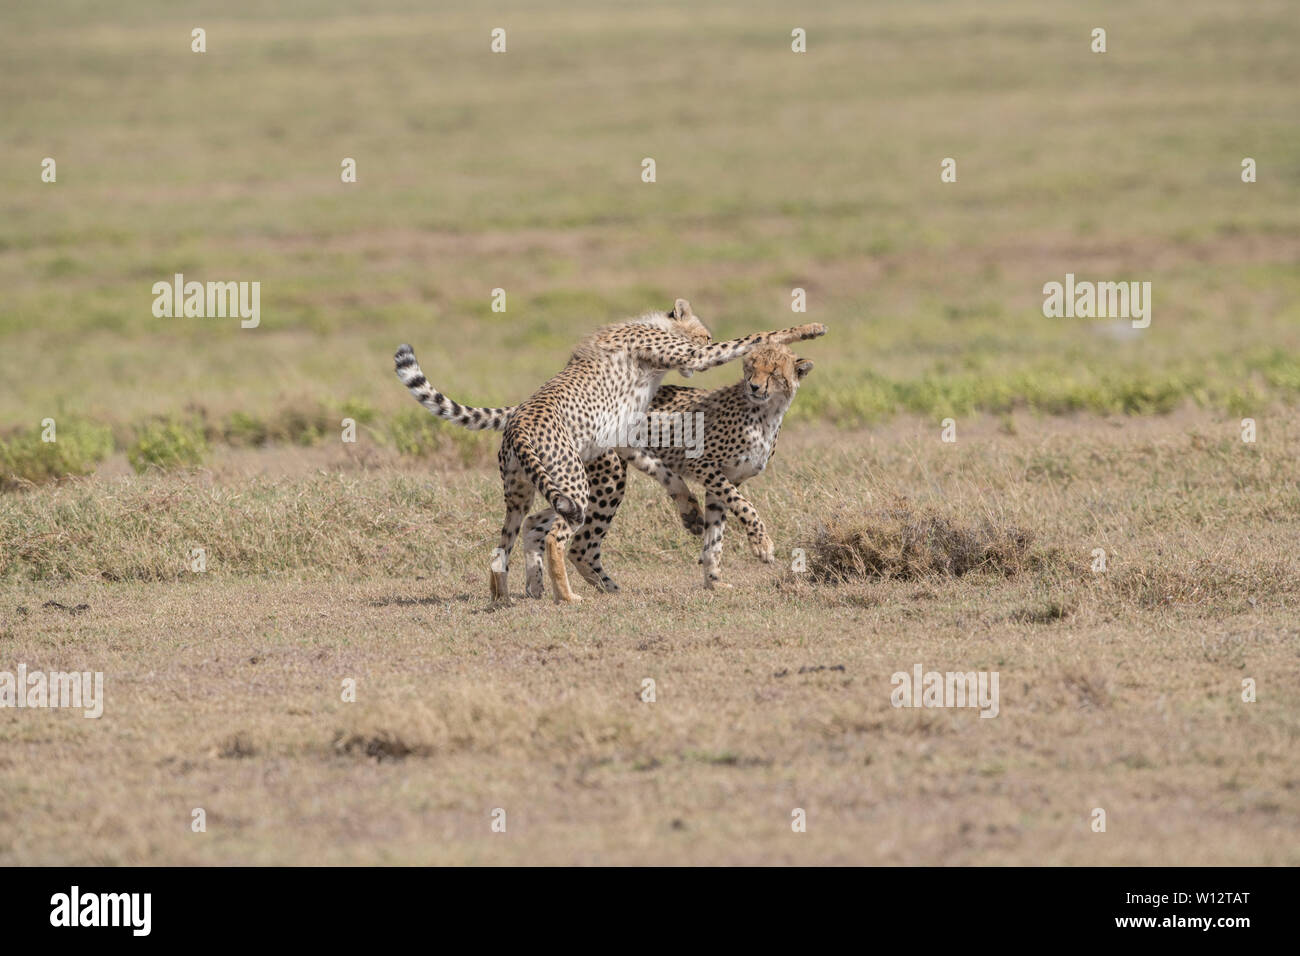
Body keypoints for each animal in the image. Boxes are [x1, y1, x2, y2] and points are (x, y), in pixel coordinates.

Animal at [394, 300, 826, 603]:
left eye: (773, 374)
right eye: (752, 370)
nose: (754, 386)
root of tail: (518, 415)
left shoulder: (699, 471)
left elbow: (713, 531)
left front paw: (714, 575)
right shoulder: (705, 457)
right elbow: (752, 336)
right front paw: (809, 328)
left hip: (539, 490)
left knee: (514, 535)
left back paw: (512, 594)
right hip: (590, 484)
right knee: (567, 541)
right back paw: (570, 595)